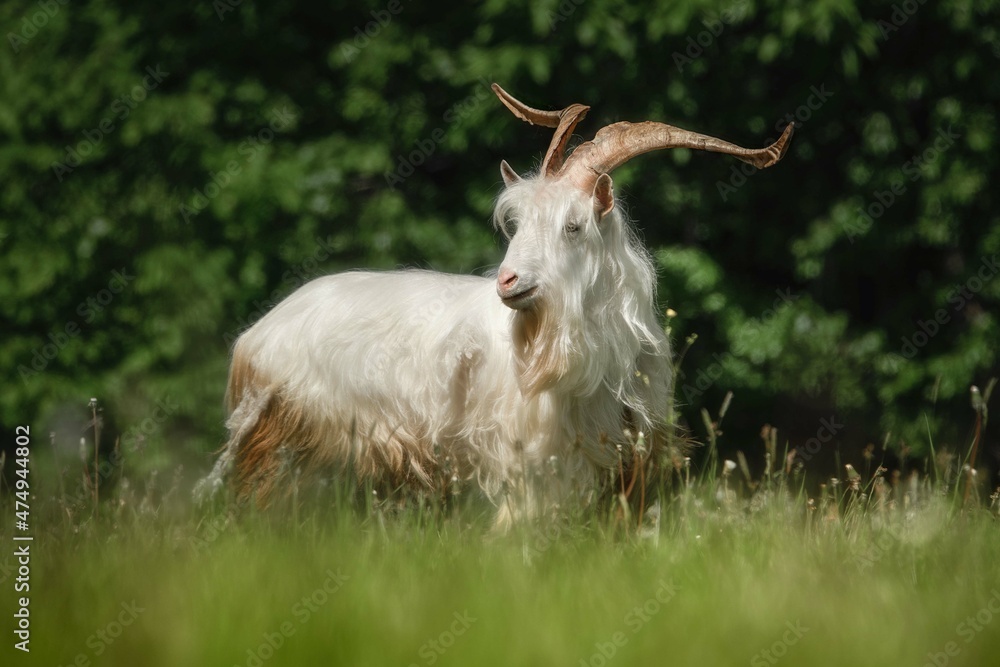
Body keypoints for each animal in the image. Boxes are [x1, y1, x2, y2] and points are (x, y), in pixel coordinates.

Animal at [199, 84, 793, 526]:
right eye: (516, 223)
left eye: (572, 226)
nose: (508, 282)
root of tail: (258, 335)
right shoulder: (531, 464)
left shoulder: (627, 466)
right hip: (280, 442)